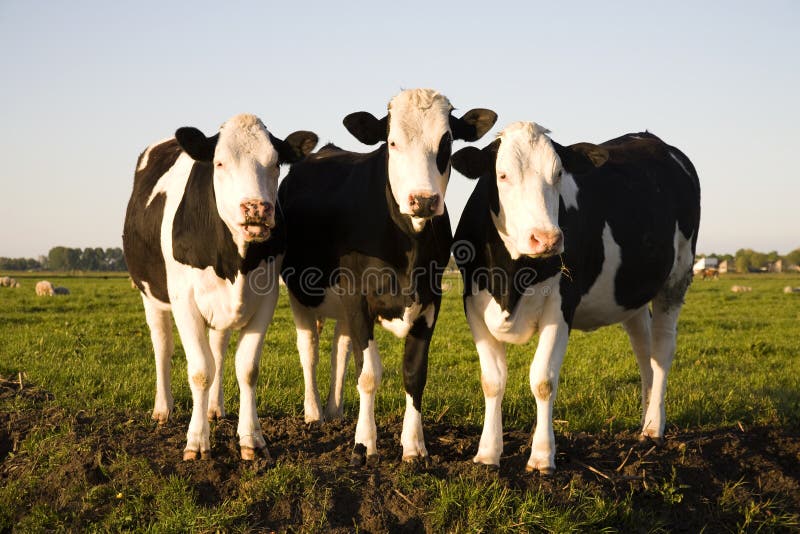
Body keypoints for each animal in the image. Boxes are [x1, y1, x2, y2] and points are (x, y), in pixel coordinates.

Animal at [122, 114, 317, 461]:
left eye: (275, 163)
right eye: (220, 162)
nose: (256, 208)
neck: (235, 260)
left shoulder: (266, 299)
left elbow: (246, 369)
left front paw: (251, 439)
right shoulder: (184, 300)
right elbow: (200, 370)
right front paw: (197, 442)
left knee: (218, 349)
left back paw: (214, 408)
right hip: (150, 294)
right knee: (162, 346)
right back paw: (163, 409)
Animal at [279, 89, 496, 466]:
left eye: (447, 143)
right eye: (392, 142)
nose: (423, 200)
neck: (408, 246)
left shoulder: (431, 300)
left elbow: (414, 373)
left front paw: (414, 446)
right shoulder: (357, 296)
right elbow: (368, 373)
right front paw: (364, 444)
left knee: (340, 349)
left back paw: (335, 411)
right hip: (299, 294)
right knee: (309, 349)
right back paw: (314, 413)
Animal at [451, 122, 700, 474]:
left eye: (558, 174)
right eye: (502, 175)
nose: (546, 238)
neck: (510, 281)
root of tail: (654, 140)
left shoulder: (561, 306)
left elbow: (543, 380)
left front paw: (542, 457)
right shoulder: (473, 304)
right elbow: (492, 381)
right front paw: (487, 453)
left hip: (677, 277)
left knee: (661, 351)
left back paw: (654, 427)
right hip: (631, 294)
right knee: (644, 351)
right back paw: (644, 422)